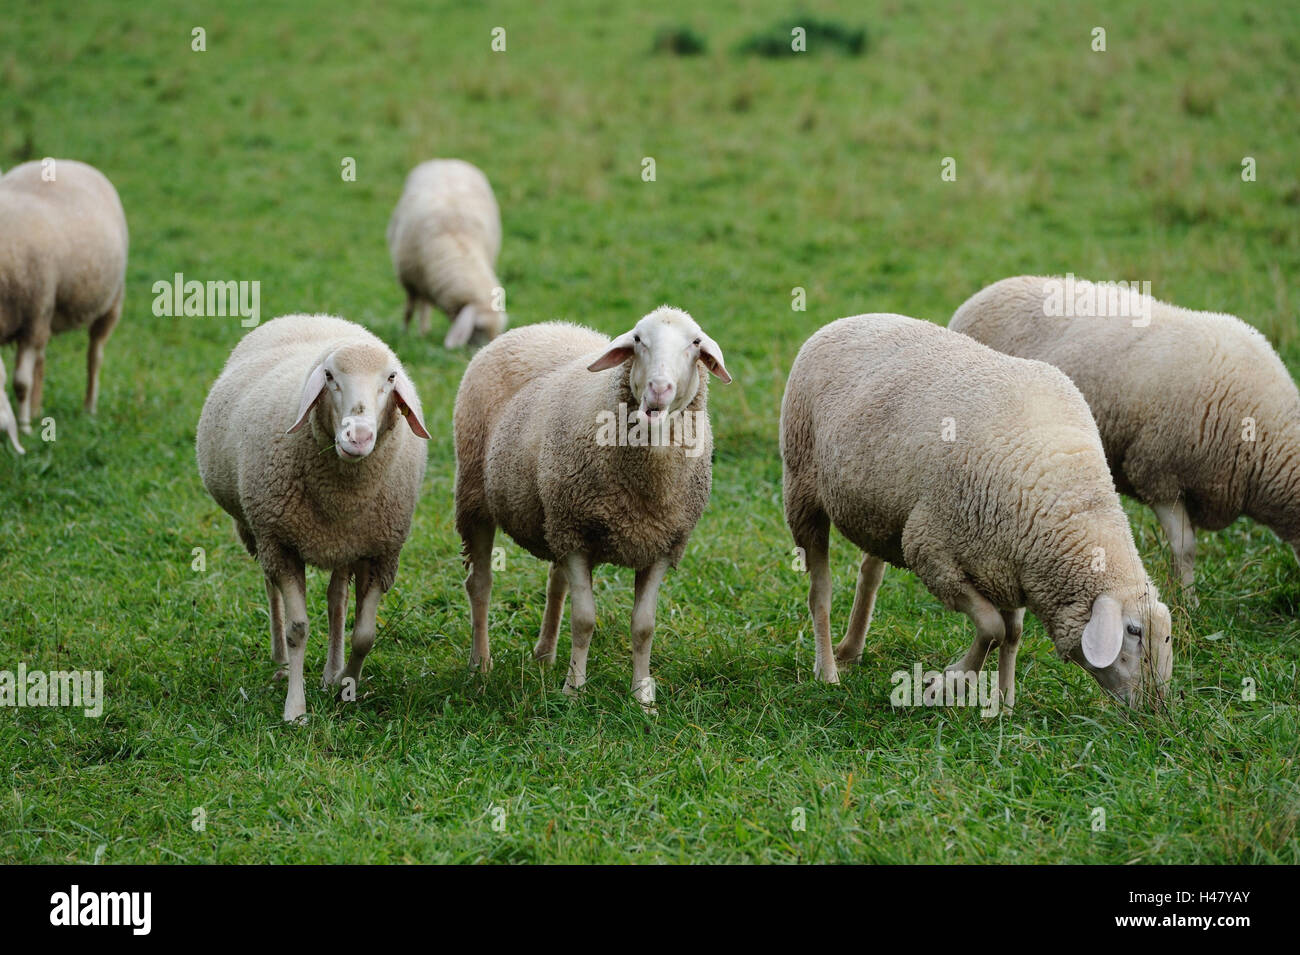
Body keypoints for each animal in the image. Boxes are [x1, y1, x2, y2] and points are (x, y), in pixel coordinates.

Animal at [0, 159, 127, 433]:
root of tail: (72, 163)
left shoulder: (33, 316)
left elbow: (20, 383)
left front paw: (24, 426)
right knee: (41, 360)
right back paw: (37, 411)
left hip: (110, 302)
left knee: (94, 356)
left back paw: (89, 408)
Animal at [196, 314, 431, 721]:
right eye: (329, 376)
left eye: (390, 378)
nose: (358, 437)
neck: (343, 495)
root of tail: (313, 317)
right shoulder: (280, 541)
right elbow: (298, 628)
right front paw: (295, 708)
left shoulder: (380, 551)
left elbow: (364, 635)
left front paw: (346, 688)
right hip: (258, 532)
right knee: (270, 588)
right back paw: (281, 662)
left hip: (343, 545)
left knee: (336, 599)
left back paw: (331, 672)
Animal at [387, 159, 508, 349]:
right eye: (478, 327)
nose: (485, 349)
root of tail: (447, 161)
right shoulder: (410, 281)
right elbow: (409, 310)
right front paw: (405, 334)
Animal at [453, 306, 731, 708]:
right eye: (638, 340)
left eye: (695, 343)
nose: (659, 389)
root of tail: (541, 326)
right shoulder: (576, 537)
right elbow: (583, 620)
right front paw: (574, 692)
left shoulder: (663, 545)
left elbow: (644, 627)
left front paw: (642, 697)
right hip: (477, 497)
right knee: (480, 584)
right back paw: (480, 665)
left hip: (553, 515)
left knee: (555, 583)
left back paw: (545, 655)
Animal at [780, 313, 1173, 707]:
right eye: (1134, 631)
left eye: (1166, 638)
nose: (1156, 708)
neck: (1069, 504)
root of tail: (850, 319)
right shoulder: (933, 553)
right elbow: (993, 628)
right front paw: (948, 682)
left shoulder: (1012, 565)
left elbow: (1012, 633)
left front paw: (1004, 701)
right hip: (802, 486)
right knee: (820, 592)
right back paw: (827, 671)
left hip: (880, 512)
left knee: (870, 572)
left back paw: (851, 650)